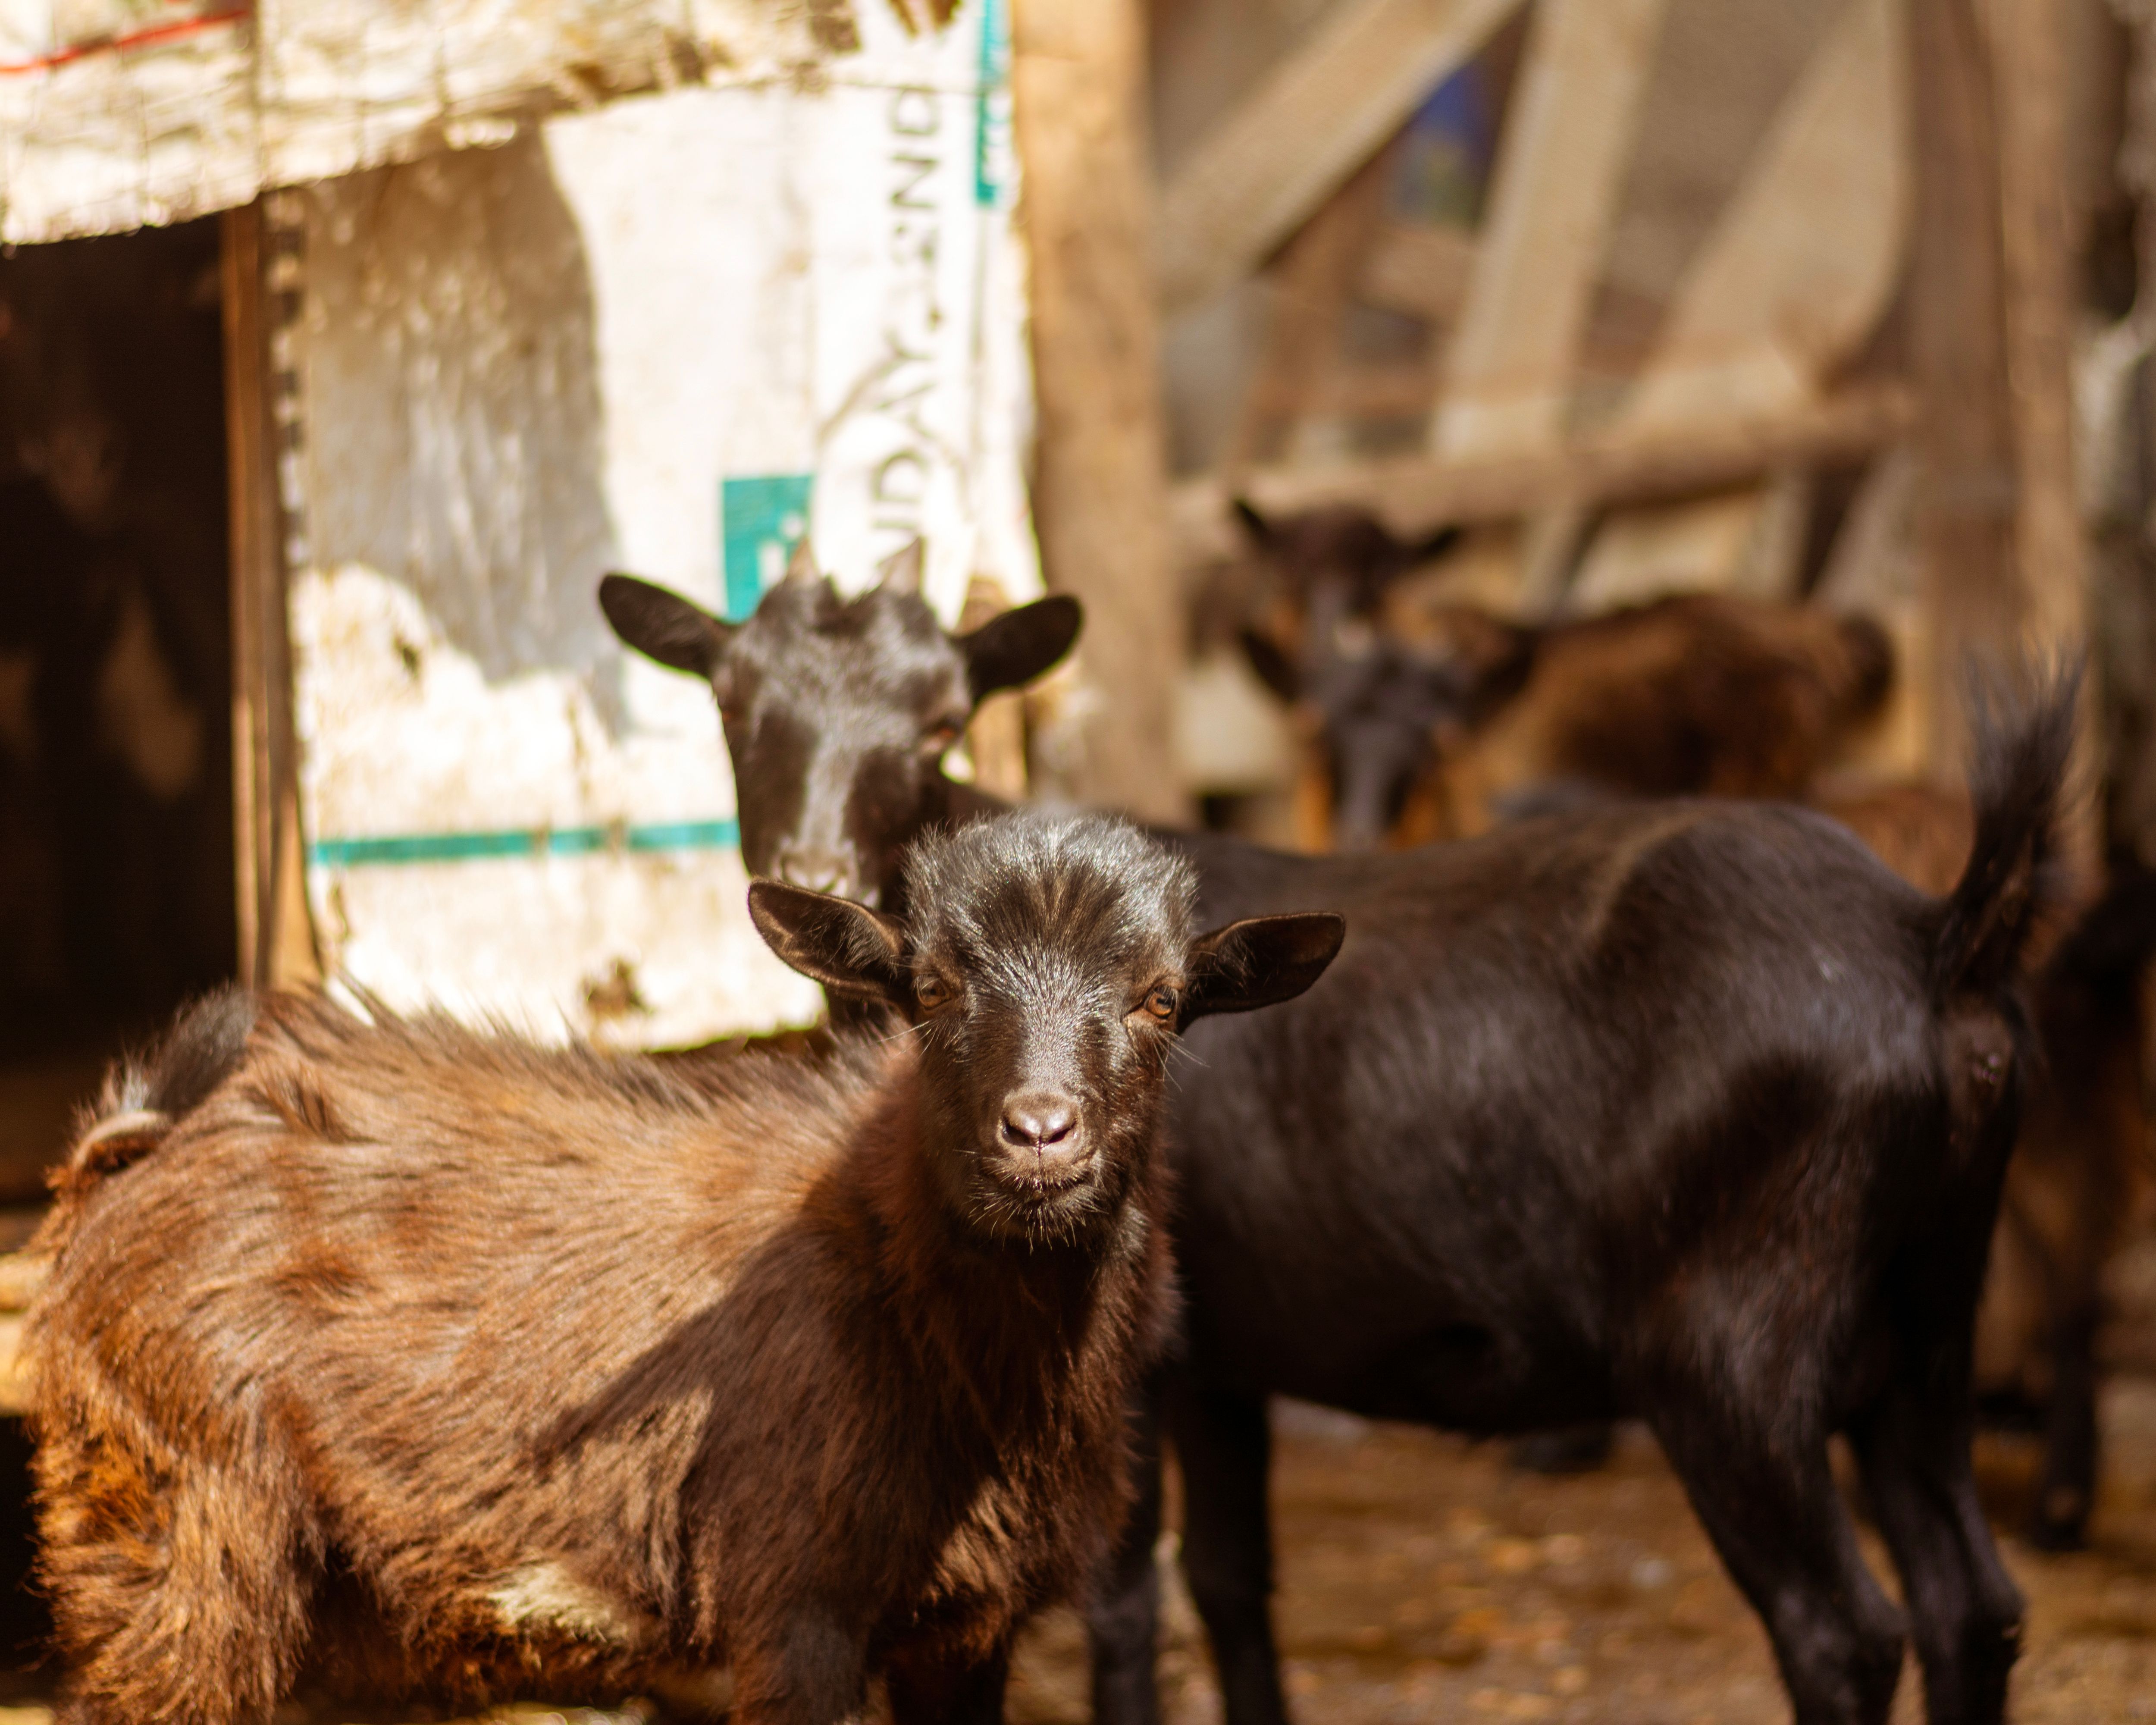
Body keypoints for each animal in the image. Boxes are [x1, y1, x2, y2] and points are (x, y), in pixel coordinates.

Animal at [26, 813, 1344, 1725]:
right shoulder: (795, 1602)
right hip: (173, 1525)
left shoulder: (968, 1628)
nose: (1039, 1134)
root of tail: (130, 1149)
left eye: (1162, 998)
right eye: (929, 988)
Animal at [608, 568, 2075, 1725]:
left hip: (1735, 1344)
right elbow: (1232, 1585)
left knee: (1843, 1632)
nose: (817, 872)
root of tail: (1935, 938)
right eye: (731, 705)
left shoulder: (1134, 1356)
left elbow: (1126, 1604)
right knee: (1975, 1602)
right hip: (1922, 1315)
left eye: (939, 720)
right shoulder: (1222, 1355)